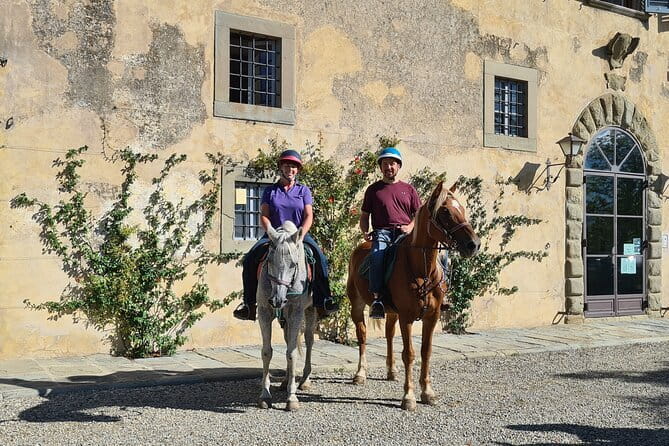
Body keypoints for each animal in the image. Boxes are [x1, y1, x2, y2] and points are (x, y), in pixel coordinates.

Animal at [256, 221, 317, 411]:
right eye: (269, 260)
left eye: (293, 264)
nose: (277, 300)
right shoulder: (264, 312)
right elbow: (267, 352)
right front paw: (265, 394)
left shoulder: (296, 314)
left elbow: (292, 354)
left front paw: (292, 398)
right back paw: (285, 381)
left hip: (310, 311)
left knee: (309, 340)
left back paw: (304, 380)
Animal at [347, 181, 480, 411]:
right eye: (445, 212)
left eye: (461, 208)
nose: (474, 244)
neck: (421, 269)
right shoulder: (407, 317)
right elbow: (409, 354)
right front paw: (408, 396)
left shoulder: (432, 316)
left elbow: (426, 352)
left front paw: (427, 392)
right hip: (357, 304)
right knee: (362, 336)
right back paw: (360, 374)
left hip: (391, 311)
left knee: (389, 334)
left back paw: (391, 371)